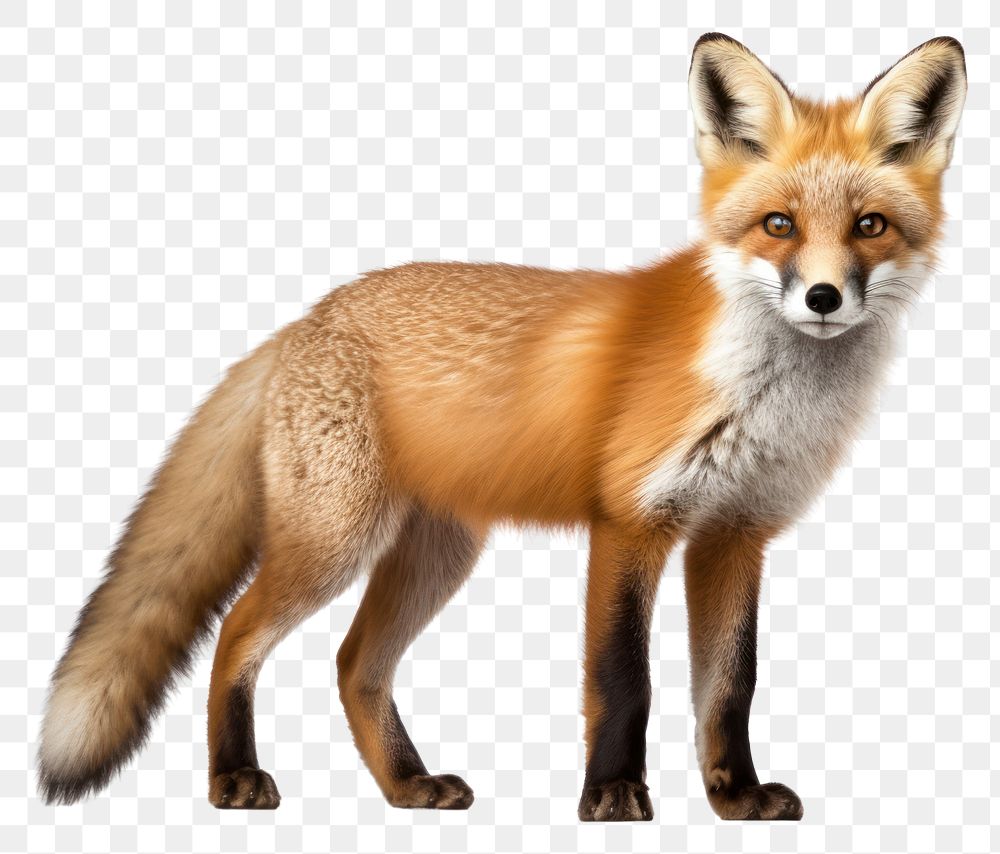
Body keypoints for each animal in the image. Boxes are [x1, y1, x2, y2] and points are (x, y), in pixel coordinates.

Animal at [37, 33, 966, 821]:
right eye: (779, 225)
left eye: (870, 227)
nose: (823, 298)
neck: (763, 396)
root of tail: (308, 319)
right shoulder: (631, 523)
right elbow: (624, 677)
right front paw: (612, 796)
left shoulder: (735, 534)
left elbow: (729, 688)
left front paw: (734, 798)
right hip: (335, 539)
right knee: (237, 632)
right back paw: (235, 776)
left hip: (437, 554)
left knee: (354, 665)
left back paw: (407, 787)